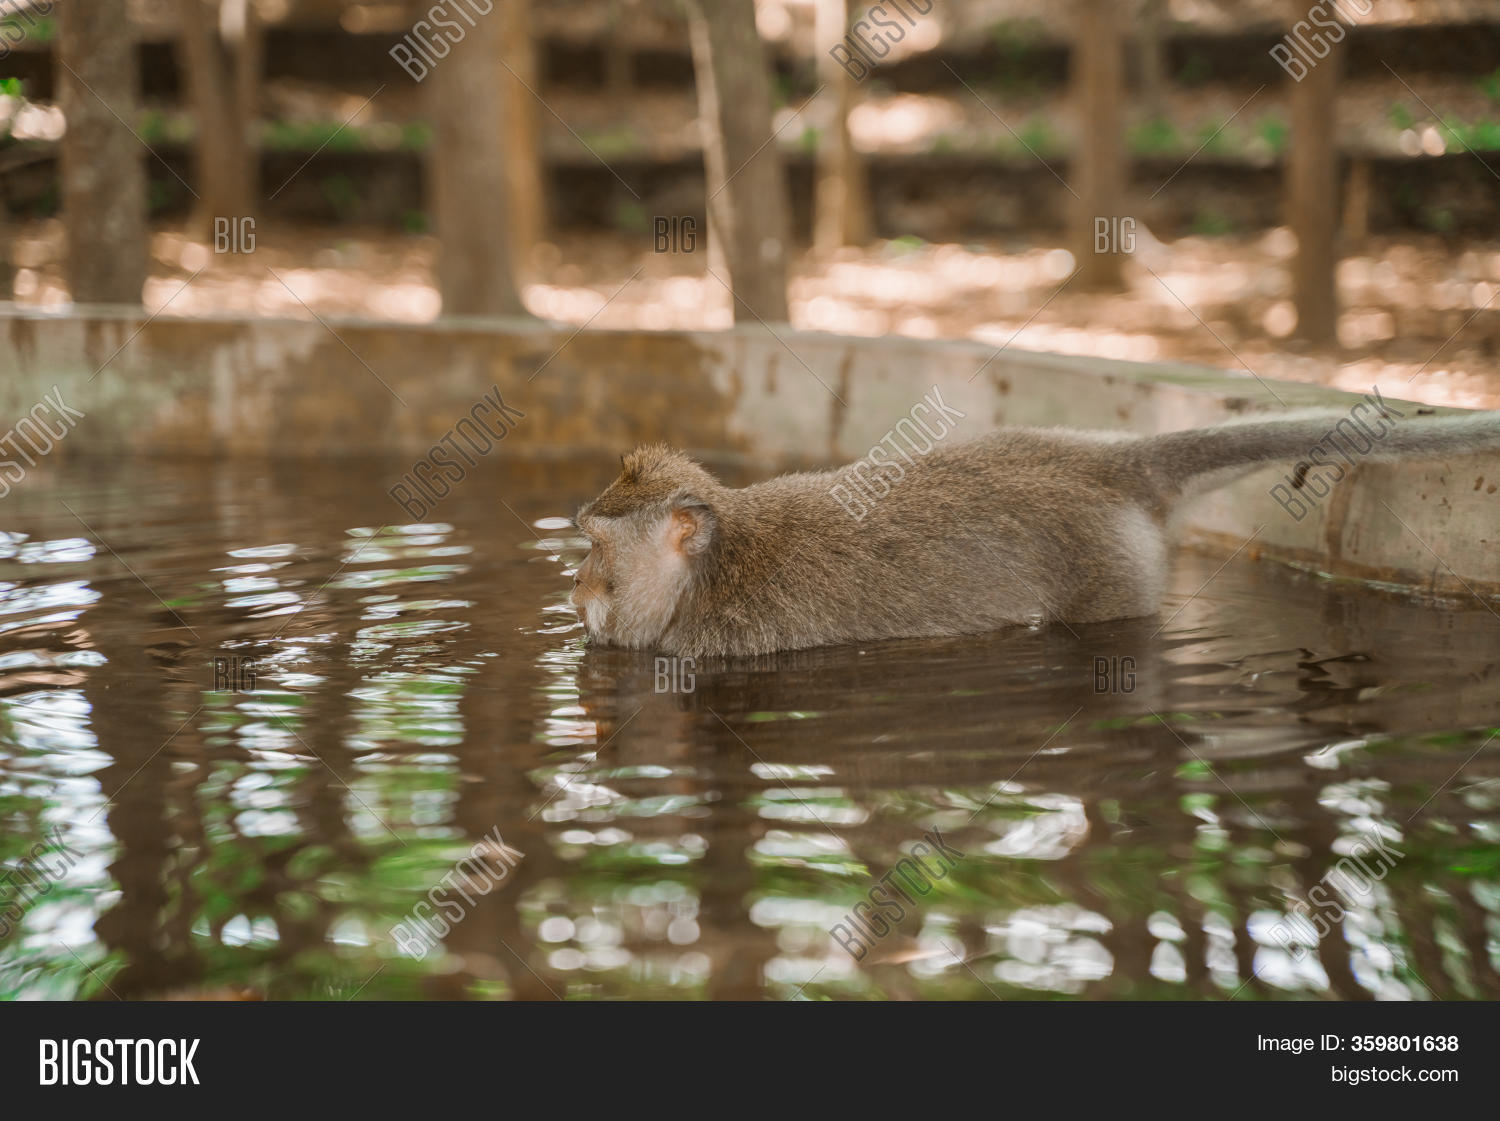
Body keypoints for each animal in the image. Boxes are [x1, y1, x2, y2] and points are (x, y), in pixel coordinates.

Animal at [568, 410, 1500, 657]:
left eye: (593, 548)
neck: (716, 559)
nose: (575, 587)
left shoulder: (715, 643)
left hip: (1110, 582)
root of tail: (1106, 460)